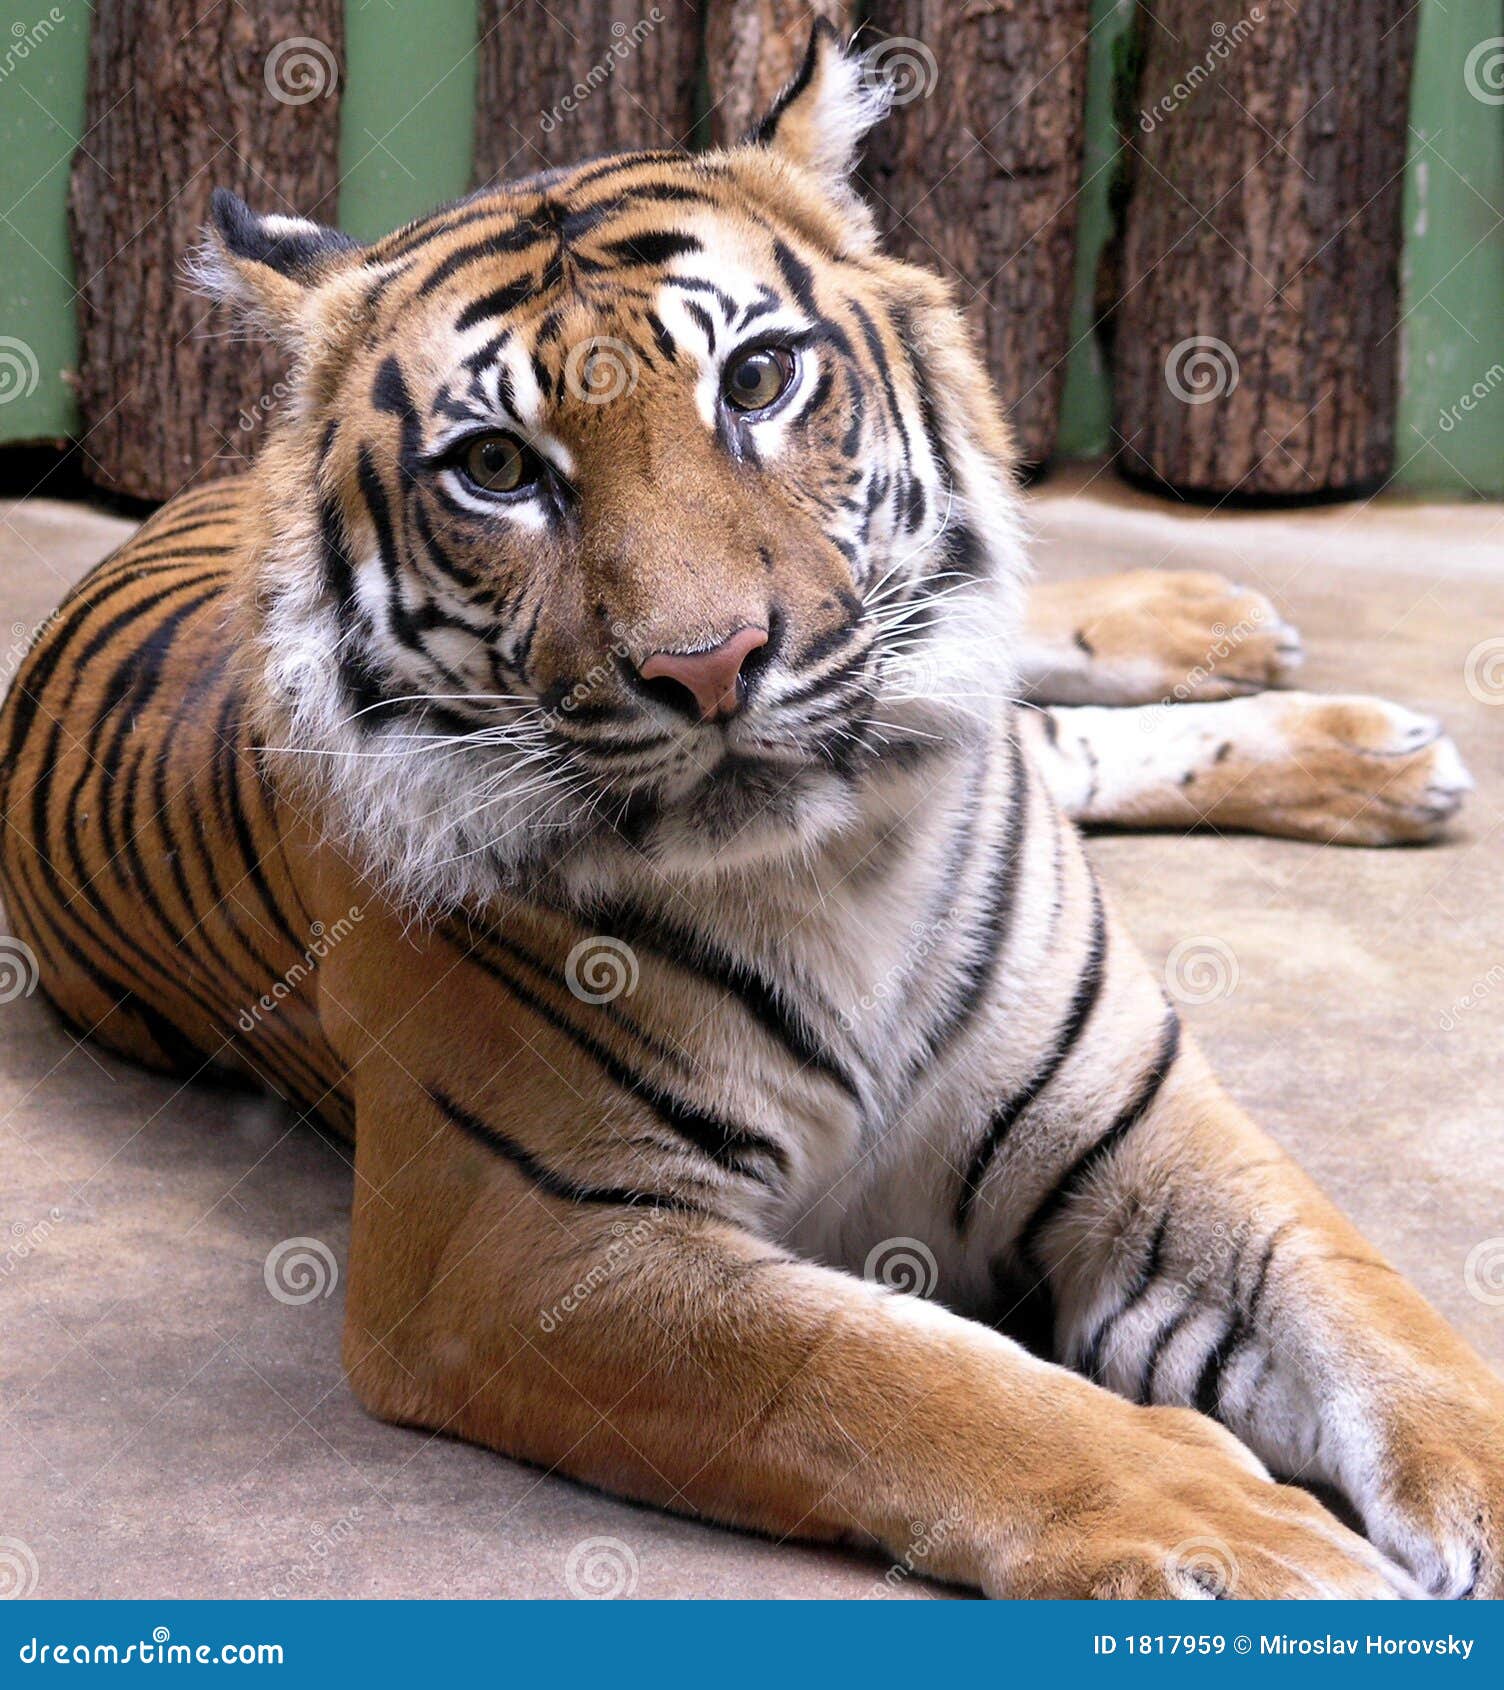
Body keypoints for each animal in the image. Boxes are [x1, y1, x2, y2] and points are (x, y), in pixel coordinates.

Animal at [0, 24, 1497, 1600]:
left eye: (761, 378)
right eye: (496, 467)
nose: (707, 663)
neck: (836, 870)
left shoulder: (1139, 1132)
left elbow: (1377, 1318)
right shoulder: (523, 1249)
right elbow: (900, 1378)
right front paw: (1239, 1530)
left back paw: (1267, 658)